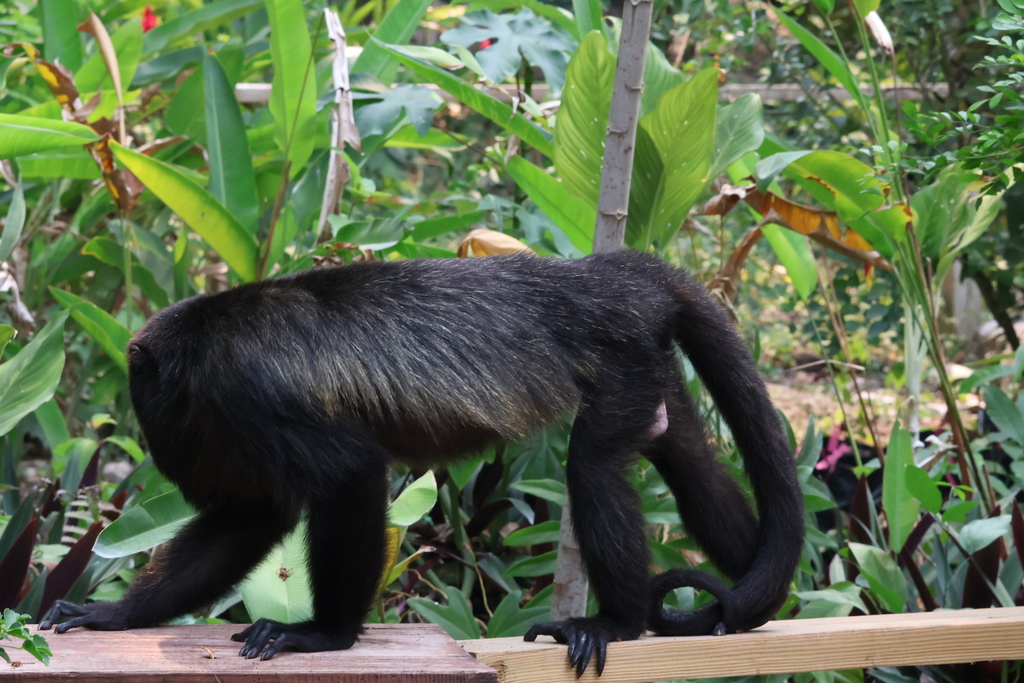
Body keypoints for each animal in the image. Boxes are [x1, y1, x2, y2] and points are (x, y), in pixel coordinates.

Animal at [40, 251, 804, 676]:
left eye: (157, 417)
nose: (178, 471)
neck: (208, 346)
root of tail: (610, 277)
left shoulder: (250, 395)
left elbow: (348, 475)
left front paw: (323, 635)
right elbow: (251, 516)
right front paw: (116, 615)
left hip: (620, 356)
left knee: (591, 464)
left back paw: (616, 621)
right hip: (647, 364)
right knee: (683, 451)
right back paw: (753, 605)